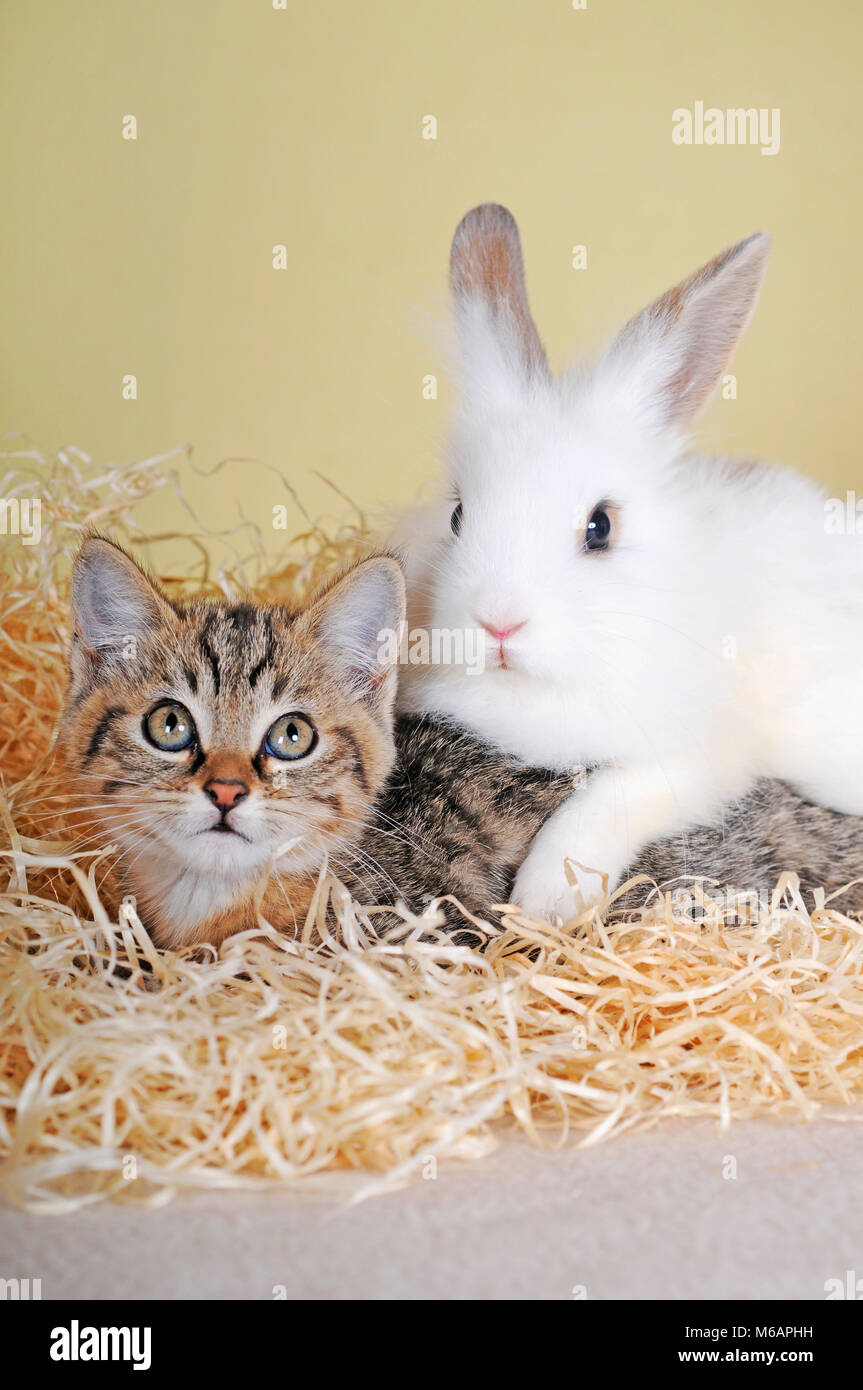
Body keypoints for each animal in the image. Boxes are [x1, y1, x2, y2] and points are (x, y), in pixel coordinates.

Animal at [396, 203, 863, 922]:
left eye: (600, 527)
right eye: (457, 515)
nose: (497, 623)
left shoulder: (703, 757)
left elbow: (616, 796)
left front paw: (546, 900)